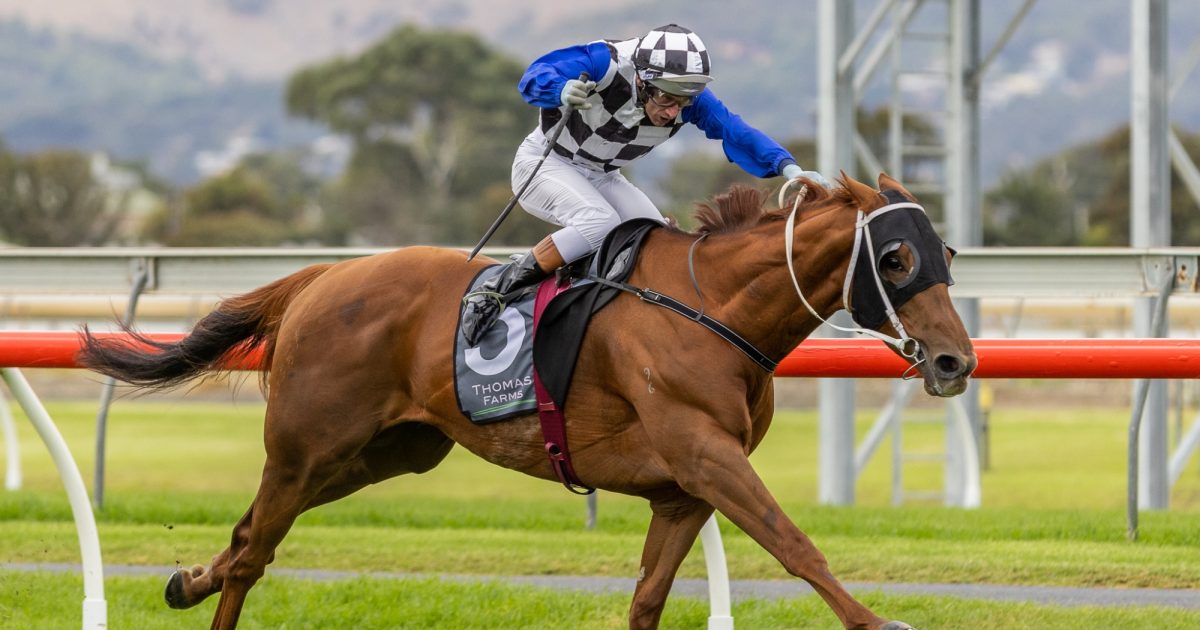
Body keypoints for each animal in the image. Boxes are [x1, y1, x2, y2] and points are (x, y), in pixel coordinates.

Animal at [79, 172, 976, 630]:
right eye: (894, 259)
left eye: (945, 251)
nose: (955, 359)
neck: (710, 308)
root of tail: (322, 277)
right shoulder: (705, 456)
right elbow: (798, 546)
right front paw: (878, 623)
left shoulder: (683, 490)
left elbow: (648, 599)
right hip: (306, 448)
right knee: (255, 552)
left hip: (385, 454)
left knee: (245, 538)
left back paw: (185, 580)